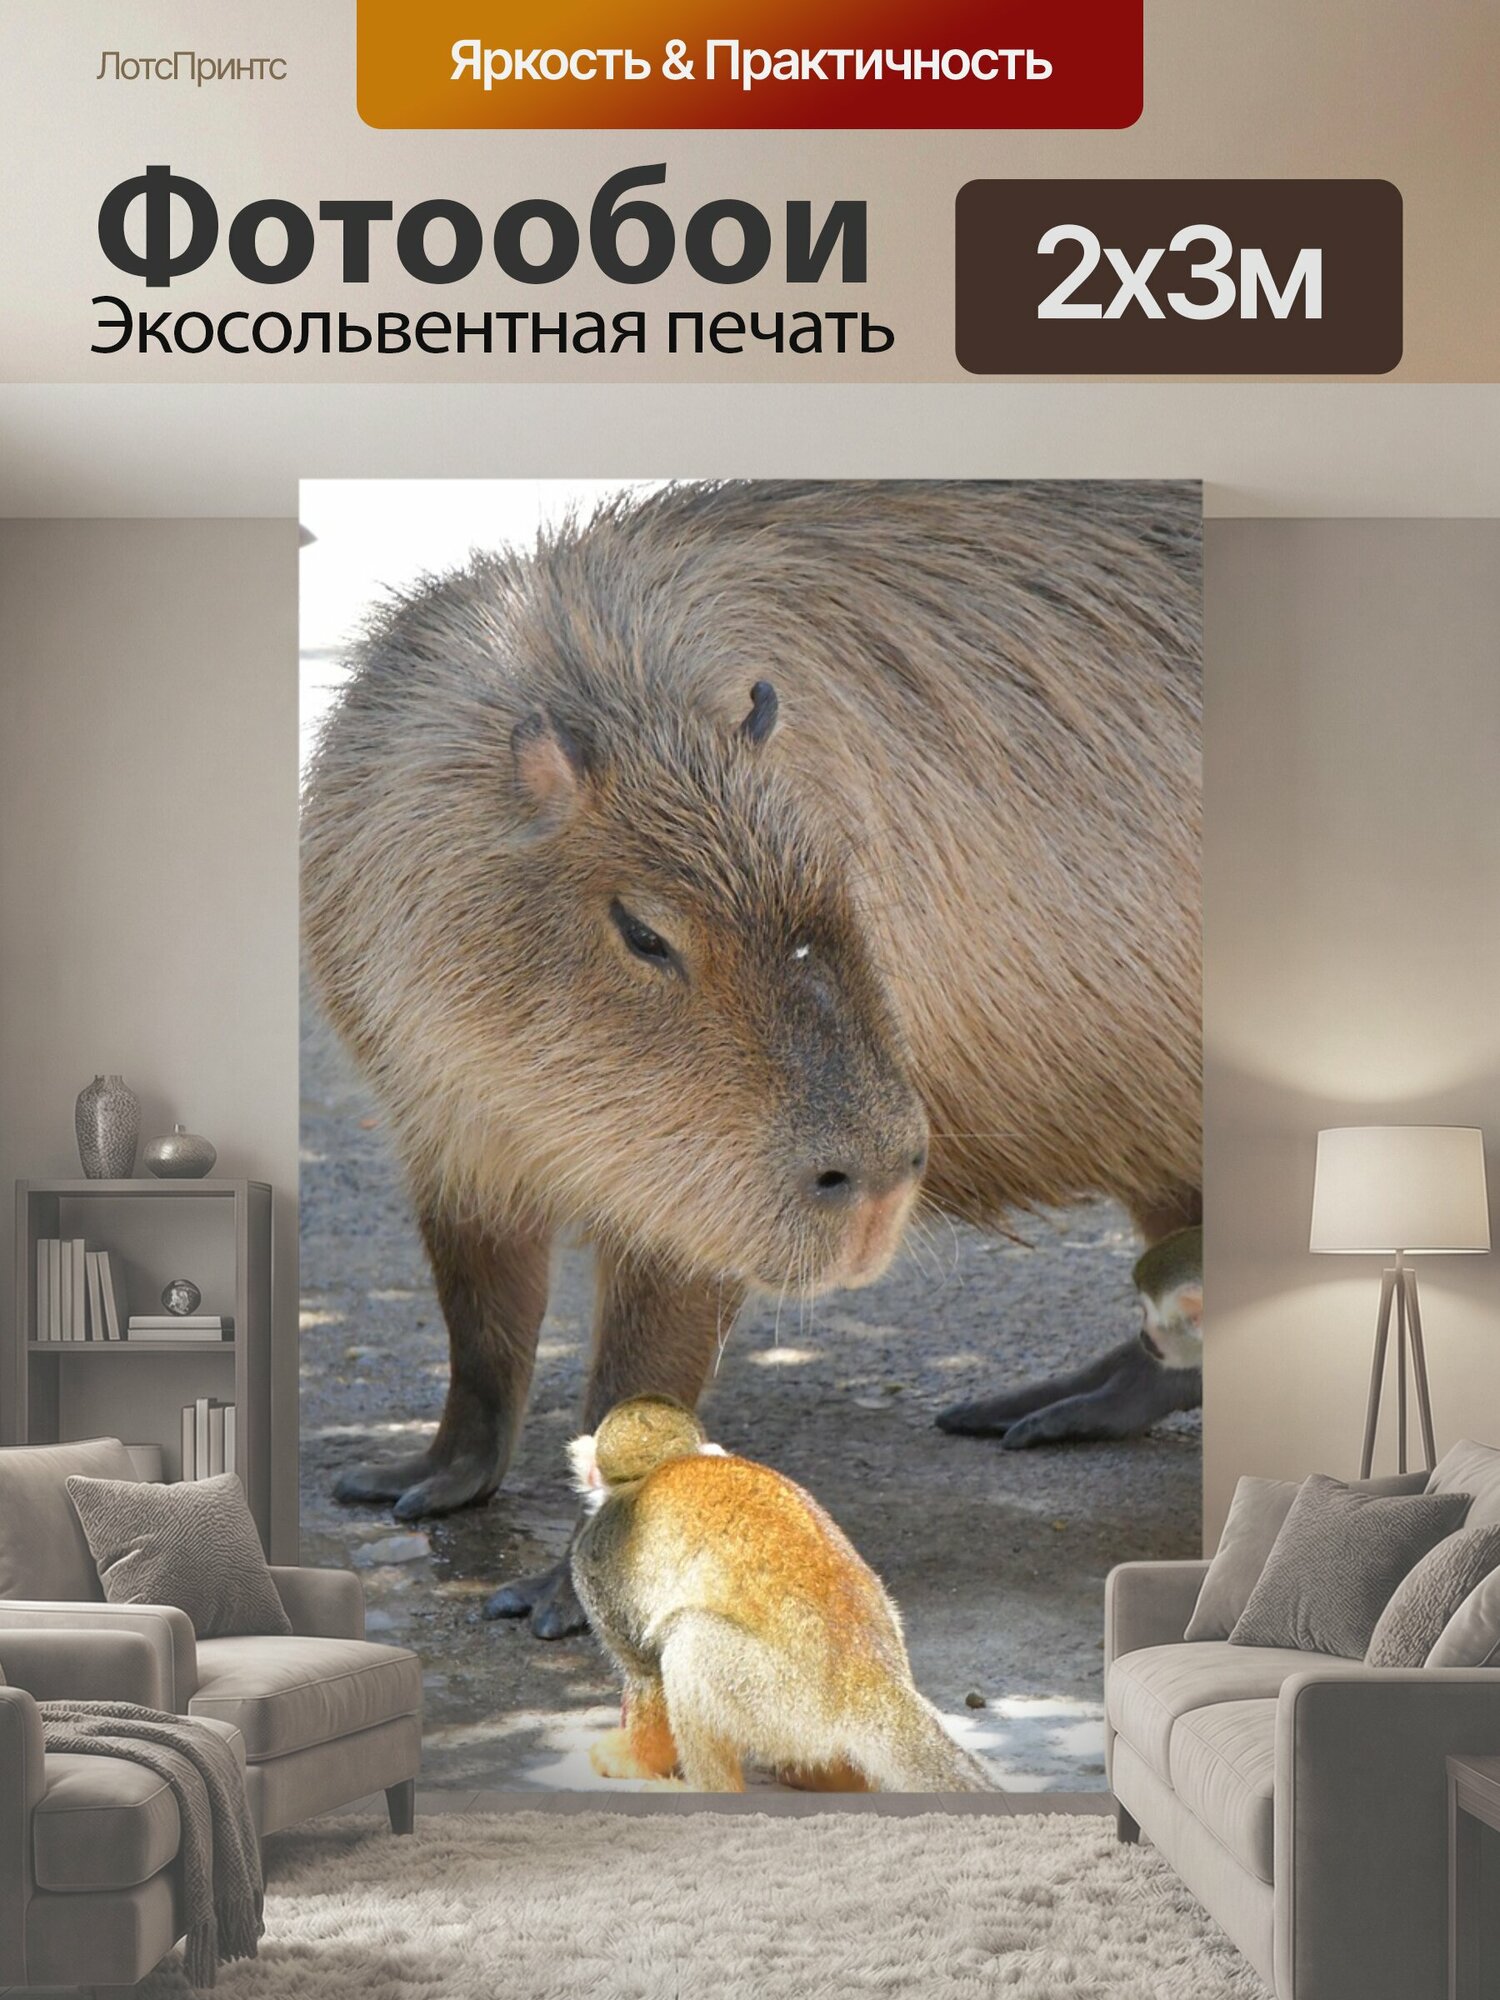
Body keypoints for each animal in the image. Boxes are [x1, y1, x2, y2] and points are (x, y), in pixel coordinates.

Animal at [567, 1396, 998, 1794]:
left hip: (779, 1700)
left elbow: (645, 1670)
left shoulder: (595, 1559)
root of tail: (871, 1683)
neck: (652, 1473)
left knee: (689, 1641)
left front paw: (633, 1759)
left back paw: (708, 1791)